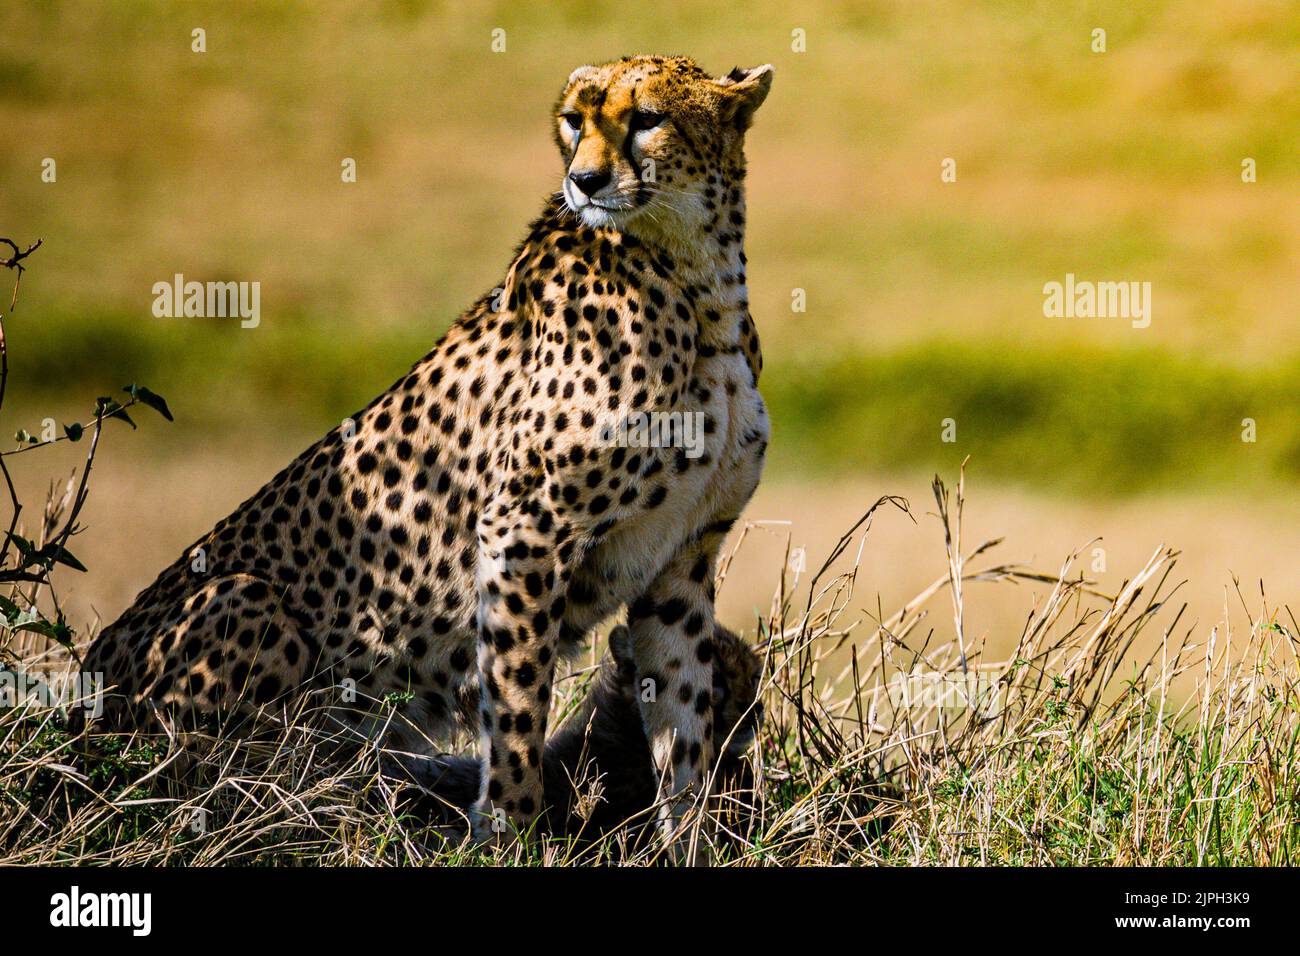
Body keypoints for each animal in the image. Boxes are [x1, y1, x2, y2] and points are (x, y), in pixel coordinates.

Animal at [80, 54, 773, 846]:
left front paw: (692, 838)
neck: (698, 282)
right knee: (212, 775)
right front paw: (506, 837)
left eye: (648, 118)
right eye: (575, 120)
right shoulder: (525, 531)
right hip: (245, 601)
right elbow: (517, 709)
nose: (586, 182)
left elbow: (682, 724)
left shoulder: (680, 556)